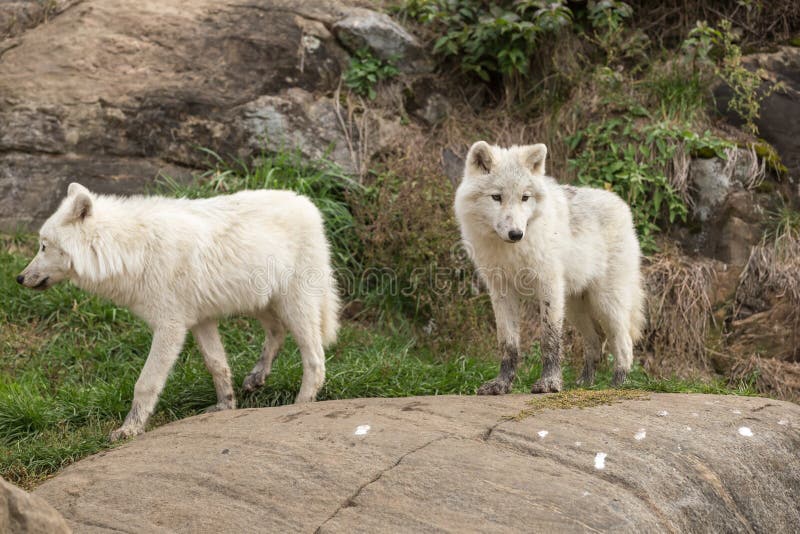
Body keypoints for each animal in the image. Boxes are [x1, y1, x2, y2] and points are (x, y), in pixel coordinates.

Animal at [17, 183, 340, 441]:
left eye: (44, 246)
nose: (19, 278)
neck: (131, 250)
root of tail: (308, 203)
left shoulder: (170, 327)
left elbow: (145, 384)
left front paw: (129, 429)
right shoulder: (200, 321)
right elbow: (217, 365)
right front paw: (226, 406)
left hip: (294, 306)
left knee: (315, 359)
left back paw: (301, 404)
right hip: (260, 303)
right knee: (276, 332)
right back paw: (256, 377)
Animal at [454, 142, 644, 395]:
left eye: (525, 197)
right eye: (496, 197)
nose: (516, 234)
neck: (513, 251)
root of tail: (622, 205)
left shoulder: (549, 287)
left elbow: (550, 339)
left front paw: (549, 383)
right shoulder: (502, 292)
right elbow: (508, 343)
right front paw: (502, 384)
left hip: (605, 303)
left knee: (624, 344)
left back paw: (616, 385)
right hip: (575, 308)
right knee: (595, 344)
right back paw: (584, 384)